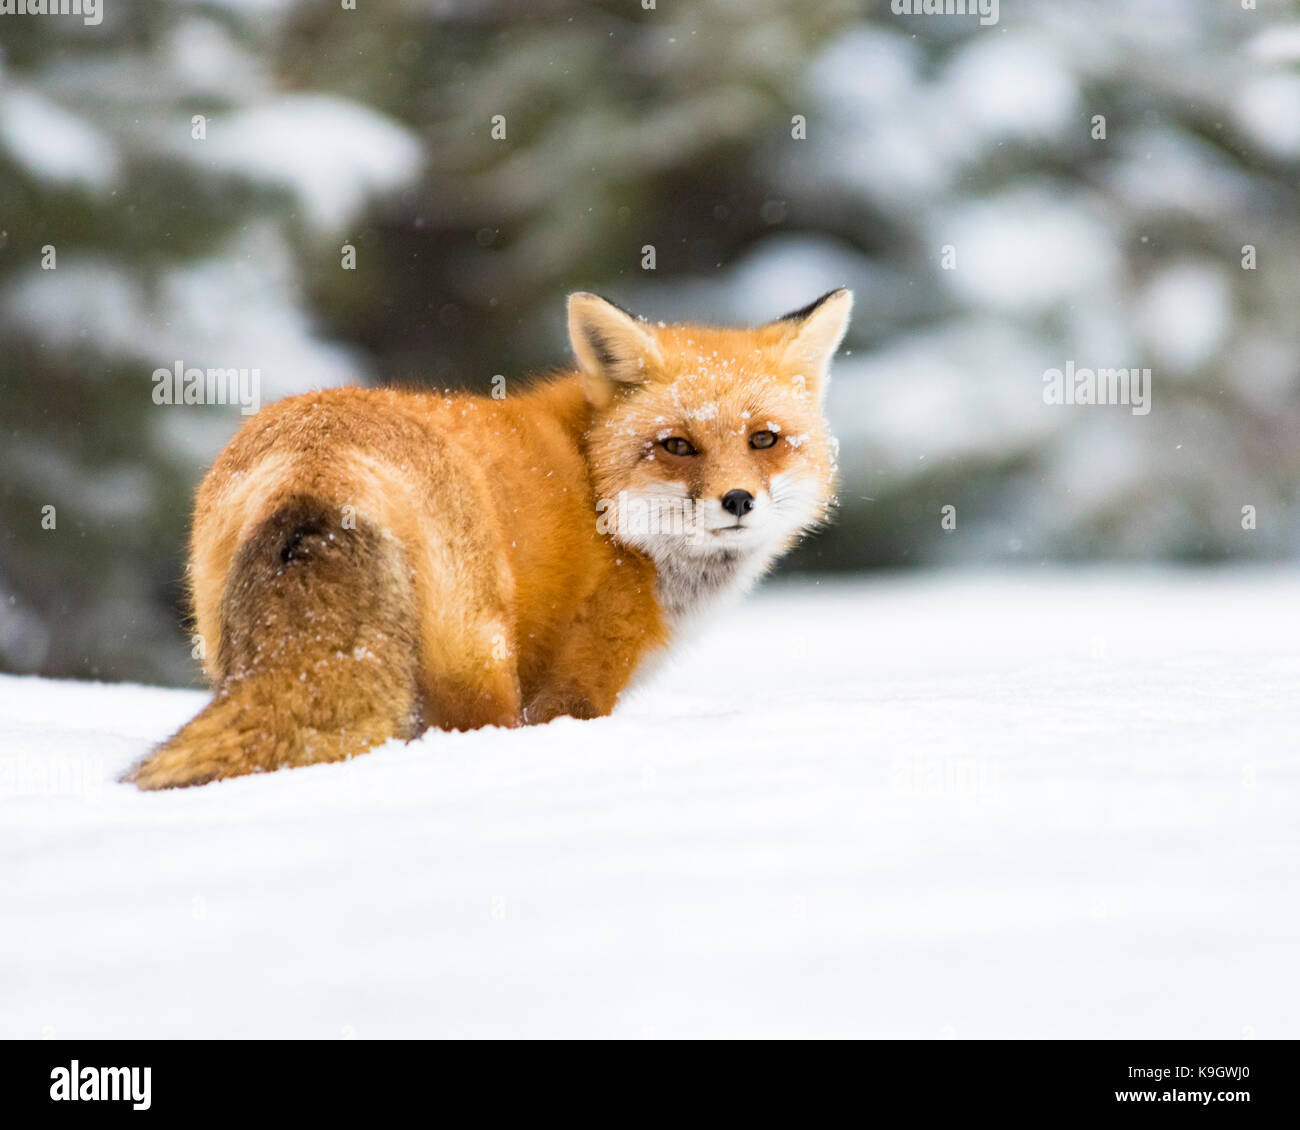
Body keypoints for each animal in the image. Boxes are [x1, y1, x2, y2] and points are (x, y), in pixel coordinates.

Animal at [123, 288, 852, 789]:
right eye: (677, 446)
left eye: (764, 439)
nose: (738, 501)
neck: (603, 499)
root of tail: (318, 459)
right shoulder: (579, 684)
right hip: (481, 669)